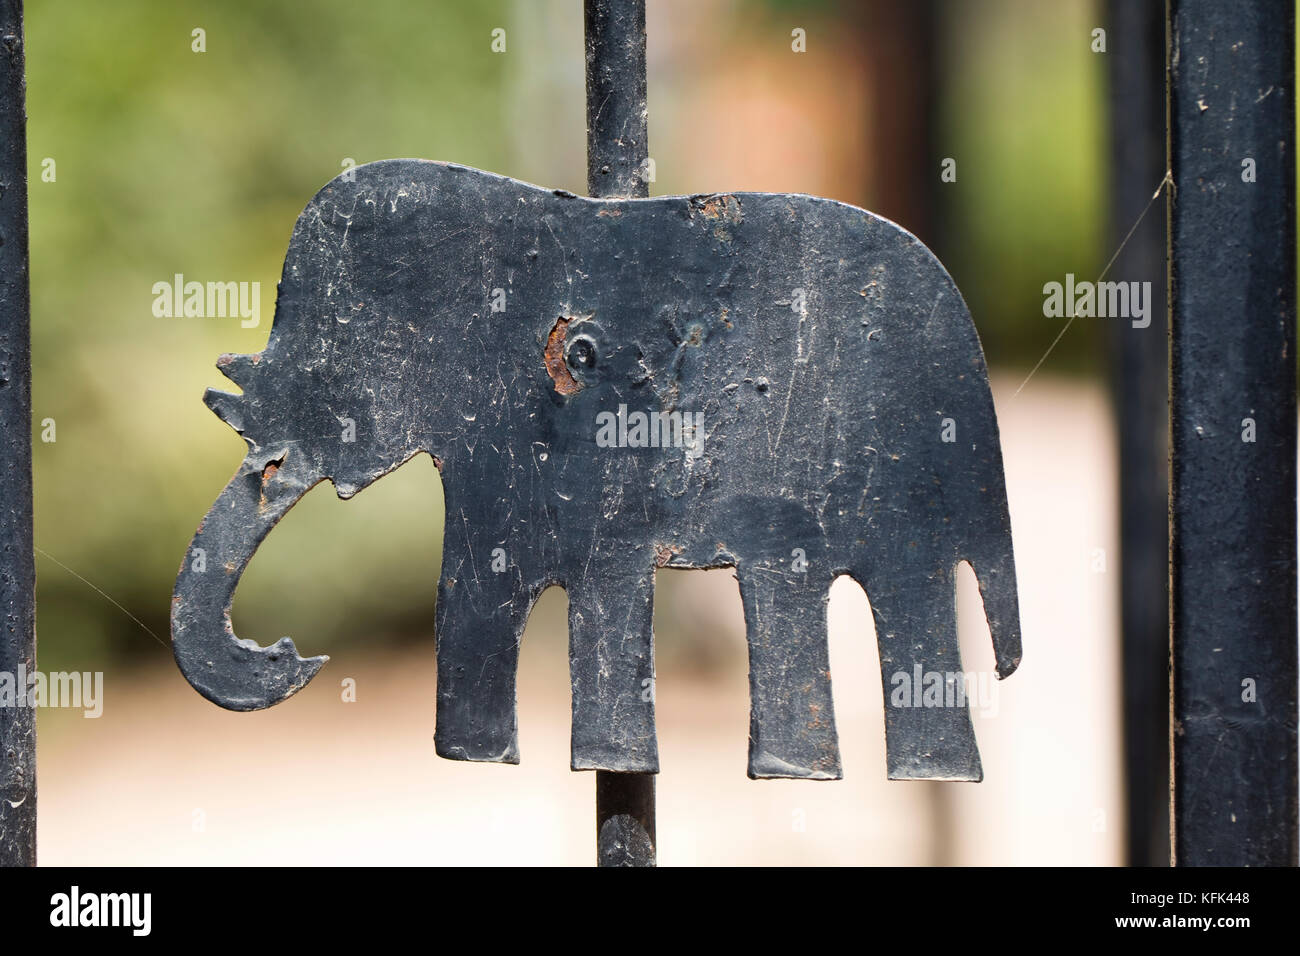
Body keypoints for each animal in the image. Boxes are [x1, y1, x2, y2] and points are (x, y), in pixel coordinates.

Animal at [171, 159, 1021, 783]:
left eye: (336, 359)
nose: (289, 655)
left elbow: (536, 587)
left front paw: (606, 763)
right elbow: (477, 589)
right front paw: (490, 756)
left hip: (910, 484)